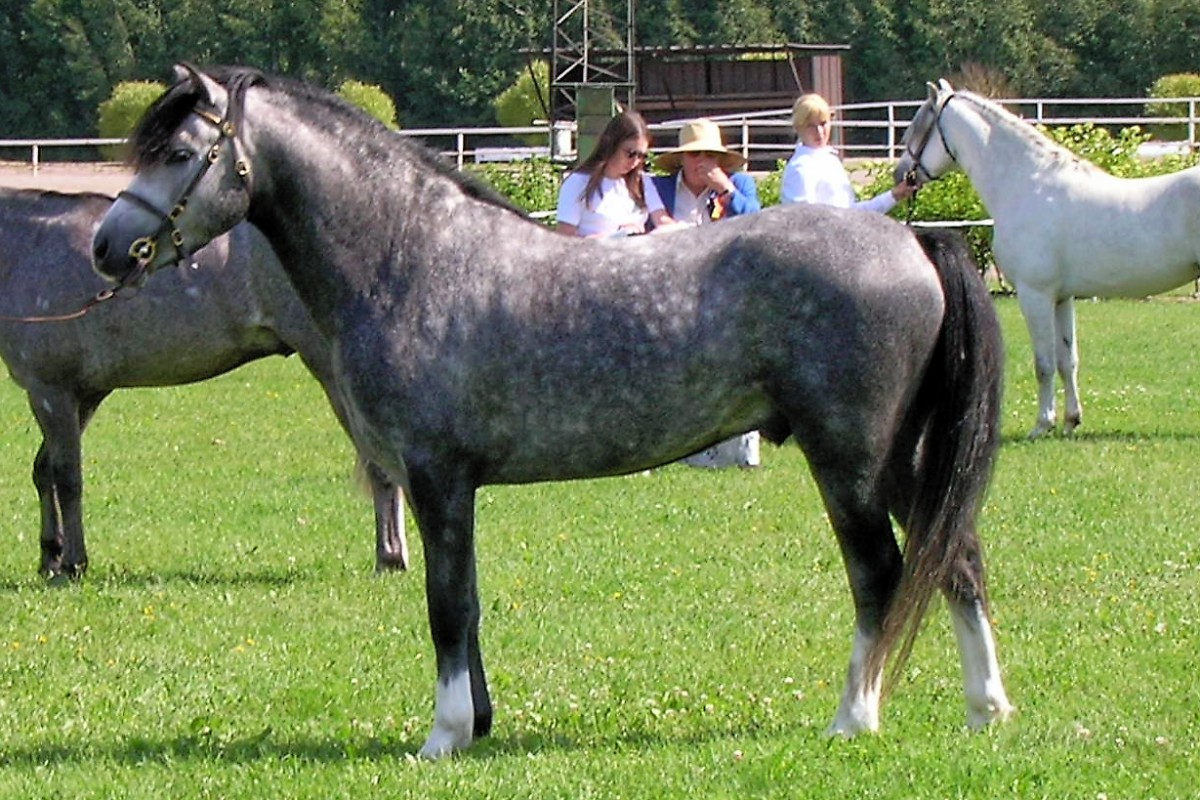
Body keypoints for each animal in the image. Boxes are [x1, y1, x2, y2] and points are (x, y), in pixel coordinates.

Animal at [0, 187, 408, 578]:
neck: (28, 246)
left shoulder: (50, 391)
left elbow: (67, 478)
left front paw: (72, 563)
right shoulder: (83, 394)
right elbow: (45, 471)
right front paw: (51, 556)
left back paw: (389, 557)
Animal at [91, 64, 1013, 757]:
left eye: (181, 151)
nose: (105, 248)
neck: (412, 256)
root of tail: (911, 239)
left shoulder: (437, 478)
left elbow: (446, 603)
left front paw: (443, 736)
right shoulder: (447, 487)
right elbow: (467, 602)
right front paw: (477, 726)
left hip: (850, 459)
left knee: (882, 574)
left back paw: (854, 718)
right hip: (902, 456)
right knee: (957, 558)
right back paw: (986, 710)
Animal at [895, 79, 1200, 438]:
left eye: (915, 130)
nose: (900, 176)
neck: (1029, 184)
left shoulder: (1035, 295)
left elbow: (1043, 363)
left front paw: (1042, 425)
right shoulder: (1062, 298)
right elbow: (1067, 361)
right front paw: (1071, 421)